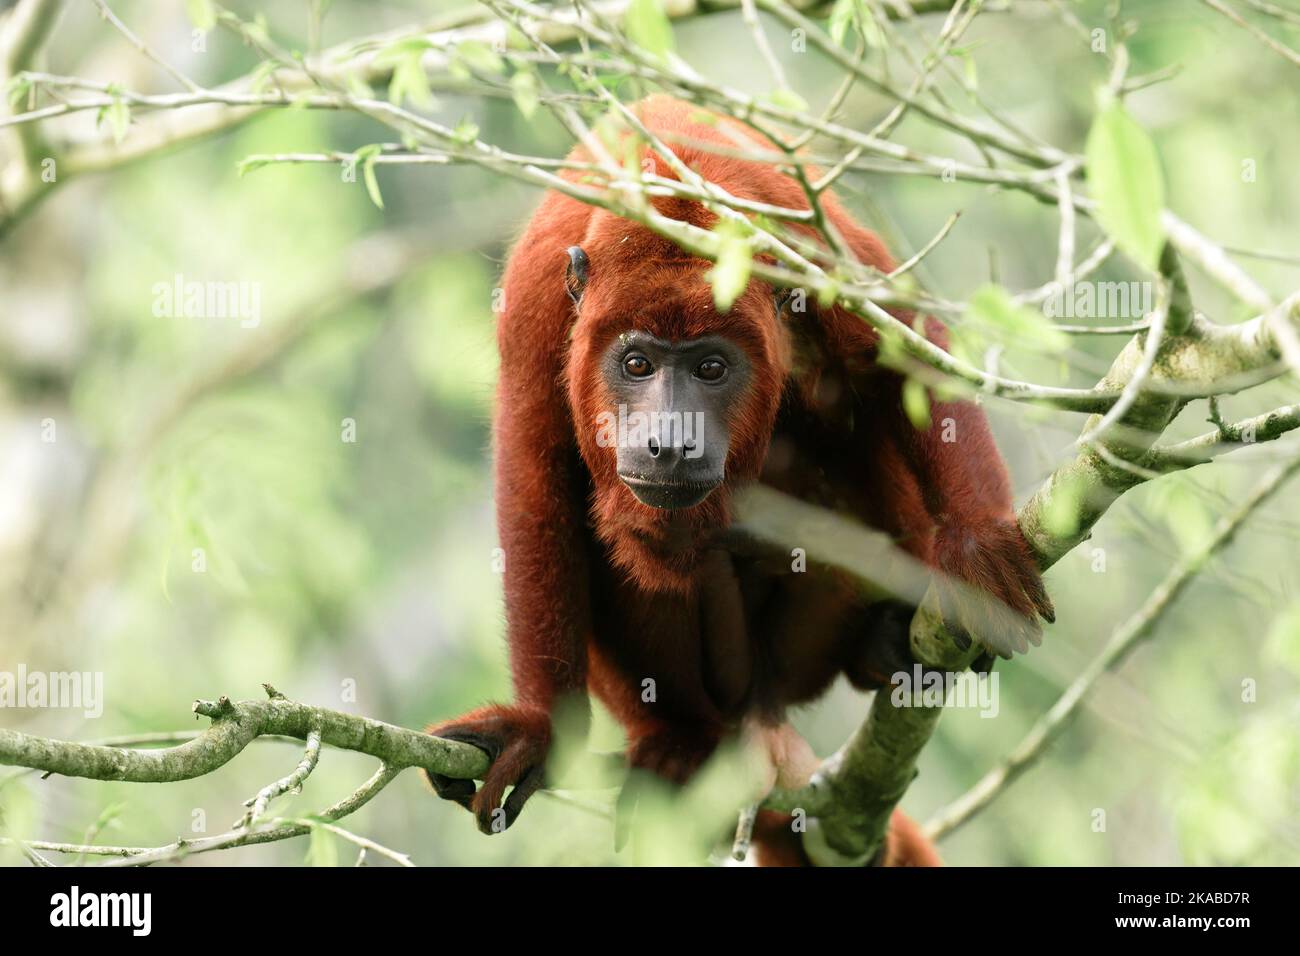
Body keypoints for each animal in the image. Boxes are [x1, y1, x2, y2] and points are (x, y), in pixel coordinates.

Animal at [424, 95, 1053, 865]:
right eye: (636, 364)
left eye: (712, 368)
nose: (670, 441)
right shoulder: (540, 298)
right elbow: (537, 475)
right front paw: (538, 729)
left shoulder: (813, 250)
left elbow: (904, 355)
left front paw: (977, 540)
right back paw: (682, 744)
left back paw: (879, 645)